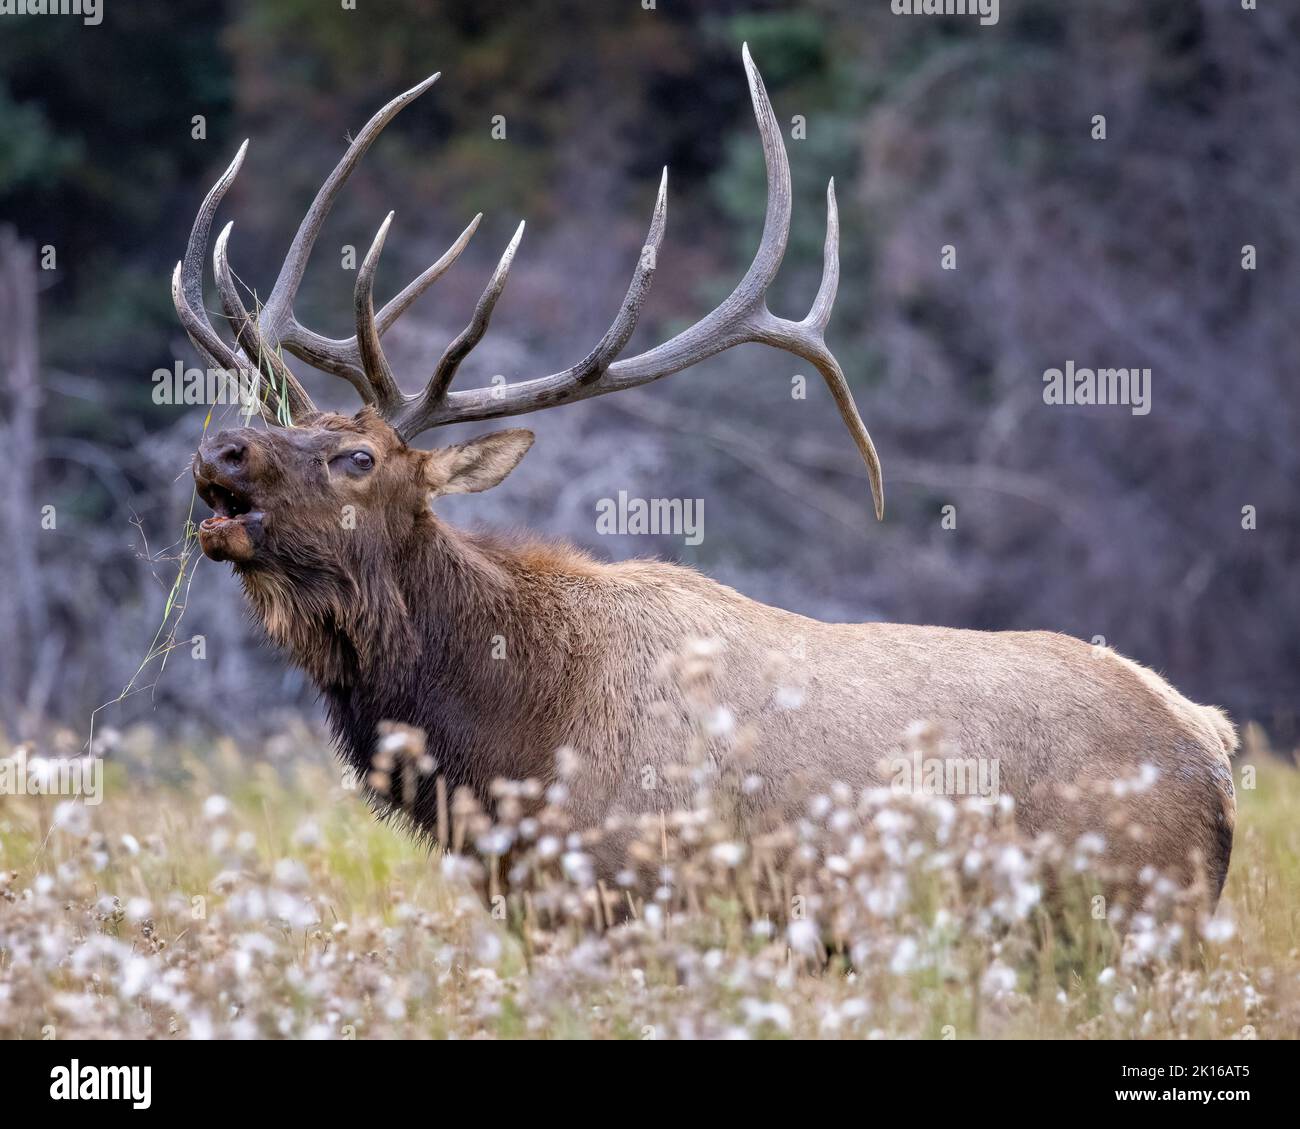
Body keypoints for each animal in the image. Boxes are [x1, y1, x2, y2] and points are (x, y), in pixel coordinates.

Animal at [177, 48, 1237, 908]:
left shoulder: (643, 894)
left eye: (359, 458)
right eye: (286, 429)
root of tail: (1217, 750)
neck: (509, 738)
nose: (219, 450)